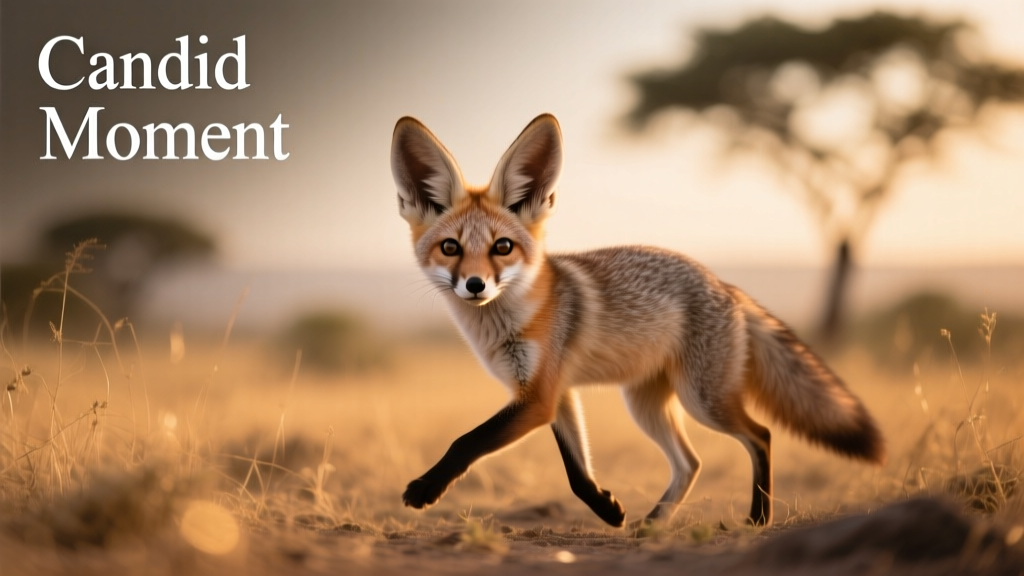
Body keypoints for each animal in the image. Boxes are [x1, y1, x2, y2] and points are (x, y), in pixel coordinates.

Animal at [391, 113, 885, 527]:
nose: (475, 285)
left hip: (702, 400)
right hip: (647, 405)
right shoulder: (553, 394)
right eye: (451, 248)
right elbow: (576, 472)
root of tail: (724, 284)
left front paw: (424, 490)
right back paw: (655, 522)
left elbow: (467, 441)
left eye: (503, 248)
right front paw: (608, 510)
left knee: (760, 435)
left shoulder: (539, 396)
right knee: (691, 462)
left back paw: (757, 518)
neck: (506, 326)